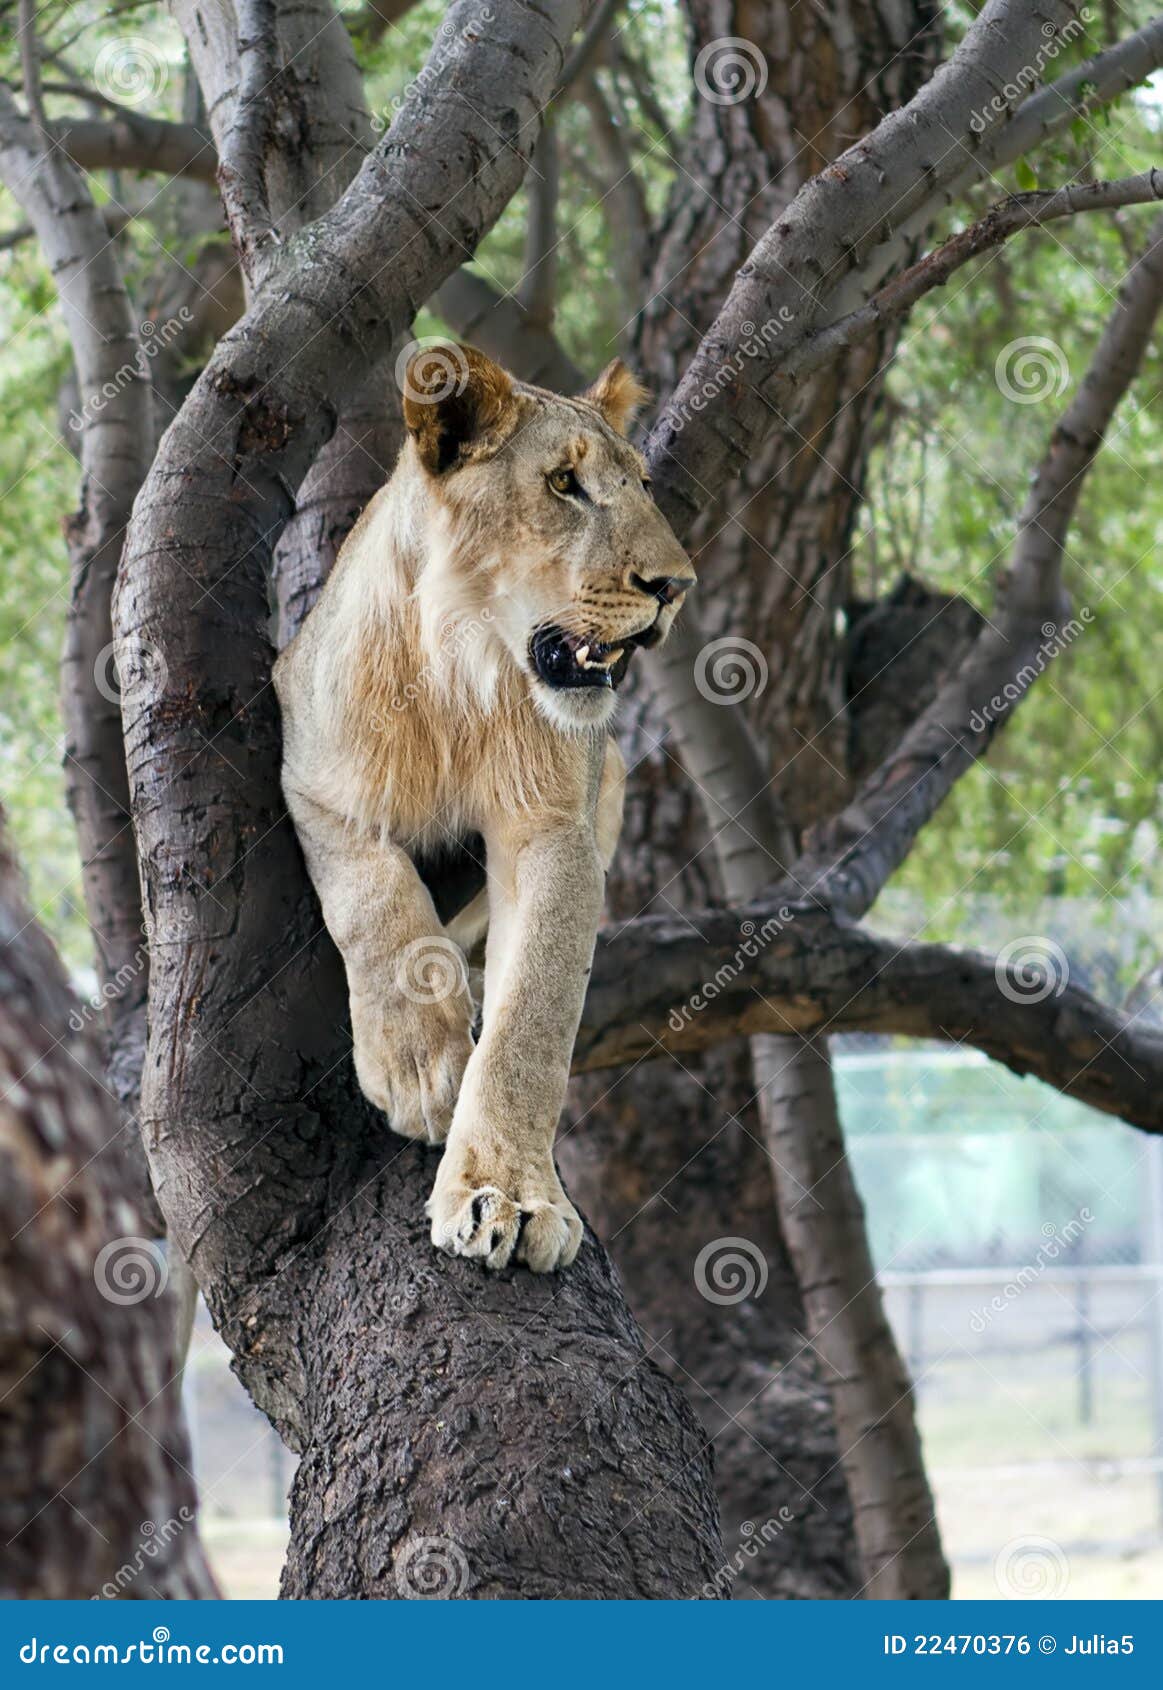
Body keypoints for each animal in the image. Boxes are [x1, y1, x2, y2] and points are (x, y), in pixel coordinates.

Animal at [274, 341, 694, 1272]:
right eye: (564, 484)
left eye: (642, 484)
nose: (675, 585)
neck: (461, 675)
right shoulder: (311, 777)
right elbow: (374, 902)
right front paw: (418, 1067)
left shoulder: (556, 827)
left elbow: (532, 1020)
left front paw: (507, 1194)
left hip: (611, 769)